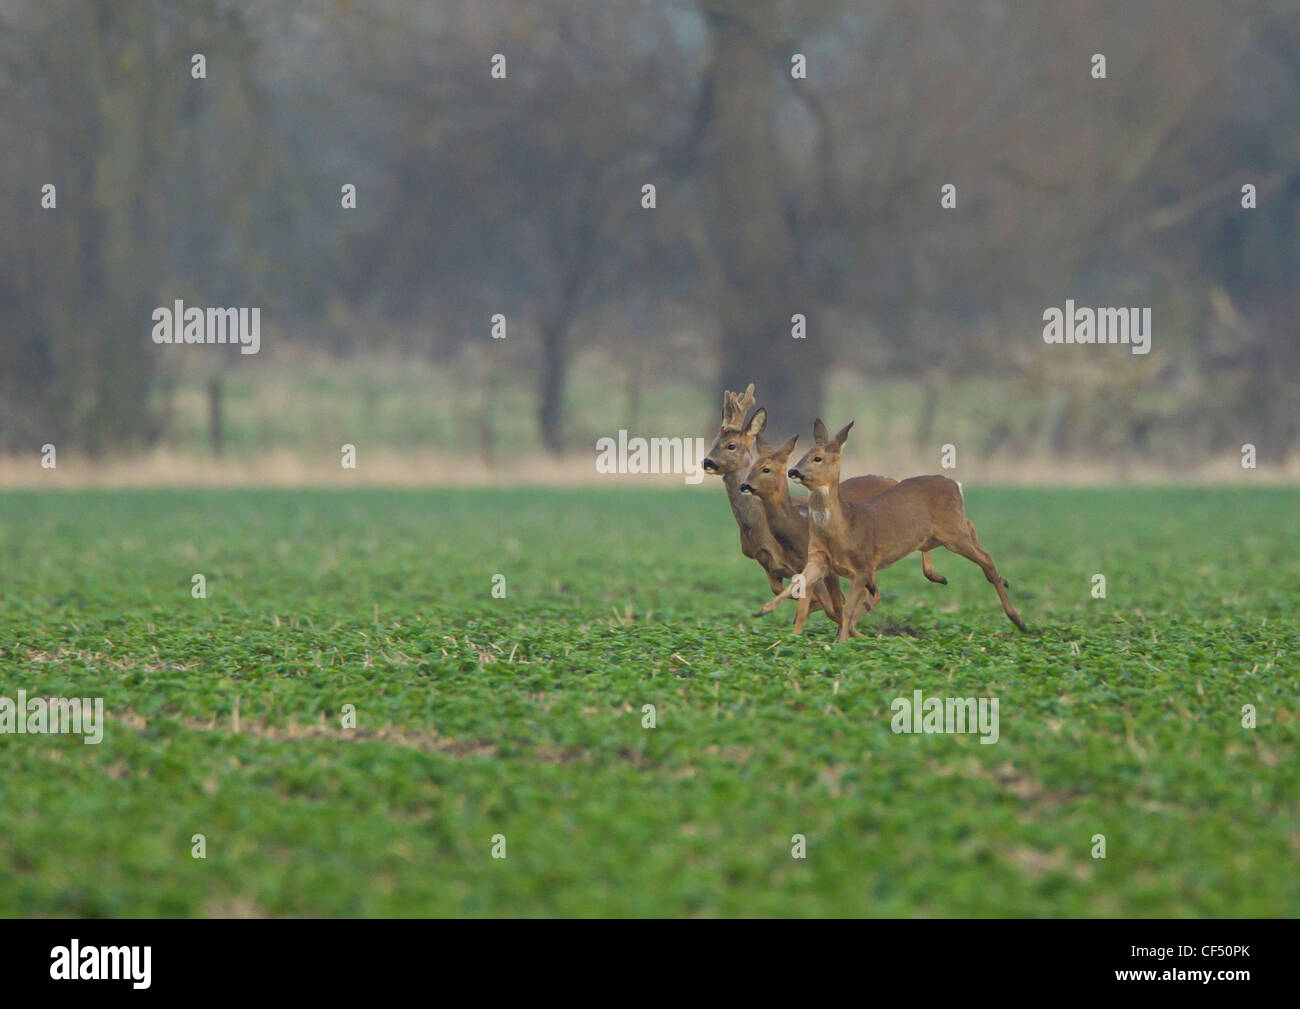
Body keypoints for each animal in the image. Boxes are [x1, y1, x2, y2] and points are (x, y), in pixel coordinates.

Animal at [701, 386, 946, 627]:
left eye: (731, 445)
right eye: (713, 442)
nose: (707, 462)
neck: (757, 526)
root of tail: (895, 479)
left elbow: (827, 602)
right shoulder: (771, 566)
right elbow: (792, 594)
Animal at [754, 418, 1026, 642]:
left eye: (817, 458)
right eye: (803, 454)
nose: (793, 471)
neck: (844, 528)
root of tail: (955, 484)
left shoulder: (863, 566)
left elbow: (848, 607)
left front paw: (842, 641)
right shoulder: (819, 558)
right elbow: (799, 584)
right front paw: (763, 611)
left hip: (952, 533)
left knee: (987, 558)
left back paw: (1018, 619)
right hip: (943, 532)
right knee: (974, 534)